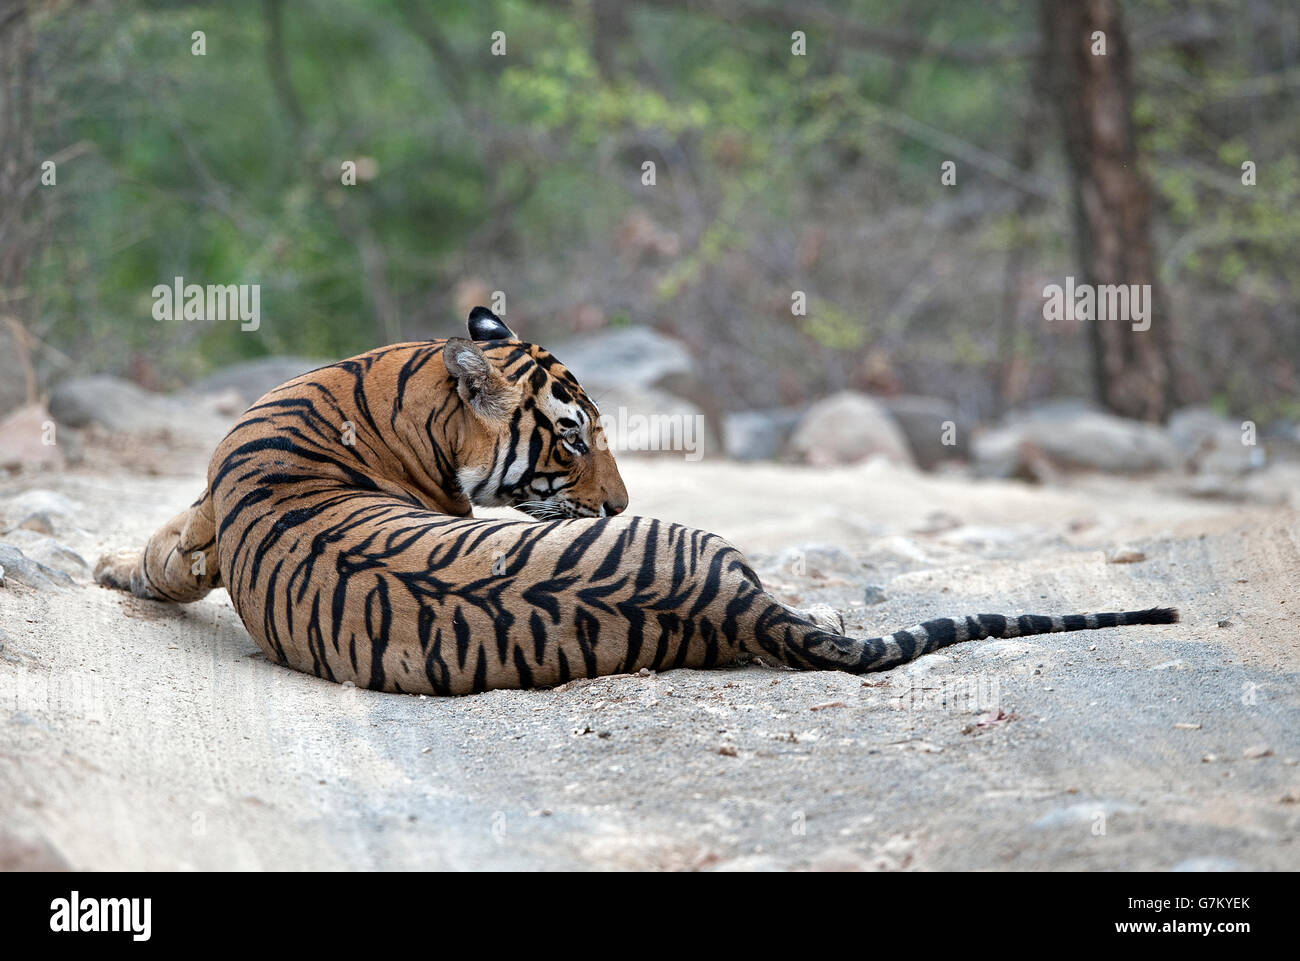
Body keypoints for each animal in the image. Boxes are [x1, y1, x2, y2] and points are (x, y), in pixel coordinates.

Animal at [94, 307, 1179, 695]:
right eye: (572, 438)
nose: (620, 504)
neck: (390, 384)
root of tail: (728, 603)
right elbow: (168, 551)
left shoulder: (206, 501)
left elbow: (167, 547)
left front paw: (107, 568)